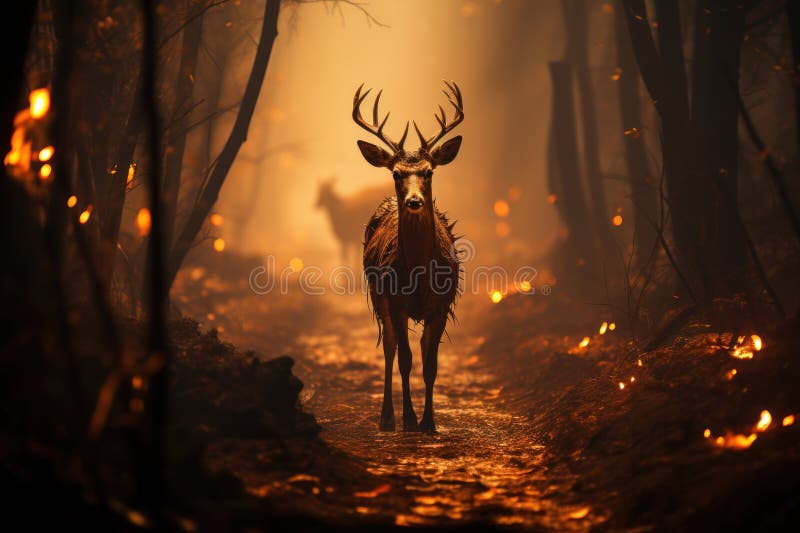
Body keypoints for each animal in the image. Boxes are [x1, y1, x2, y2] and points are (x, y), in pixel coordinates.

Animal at [353, 81, 464, 433]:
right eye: (396, 173)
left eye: (429, 172)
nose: (414, 201)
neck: (418, 274)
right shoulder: (396, 301)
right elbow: (405, 360)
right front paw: (410, 419)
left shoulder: (442, 304)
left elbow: (430, 364)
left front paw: (429, 421)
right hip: (379, 296)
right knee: (389, 348)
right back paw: (388, 417)